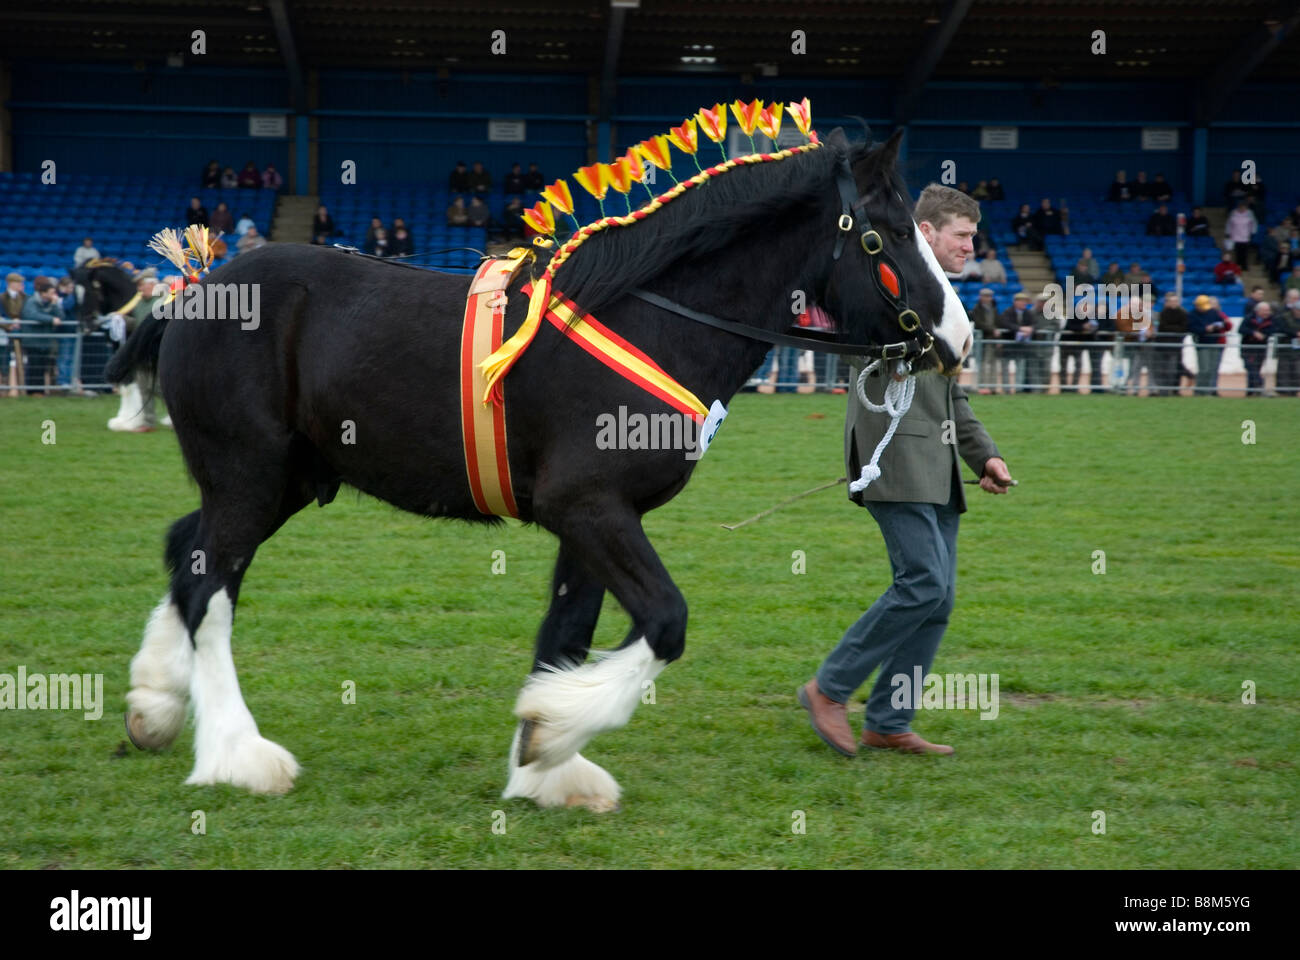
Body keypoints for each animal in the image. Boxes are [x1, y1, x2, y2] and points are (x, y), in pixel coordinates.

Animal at [105, 127, 972, 812]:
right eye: (890, 234)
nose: (960, 339)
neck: (649, 320)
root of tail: (192, 295)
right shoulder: (585, 506)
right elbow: (665, 622)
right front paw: (551, 733)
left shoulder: (594, 519)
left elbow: (567, 632)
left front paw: (543, 767)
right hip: (248, 479)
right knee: (211, 590)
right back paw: (238, 755)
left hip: (278, 482)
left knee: (186, 555)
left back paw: (154, 702)